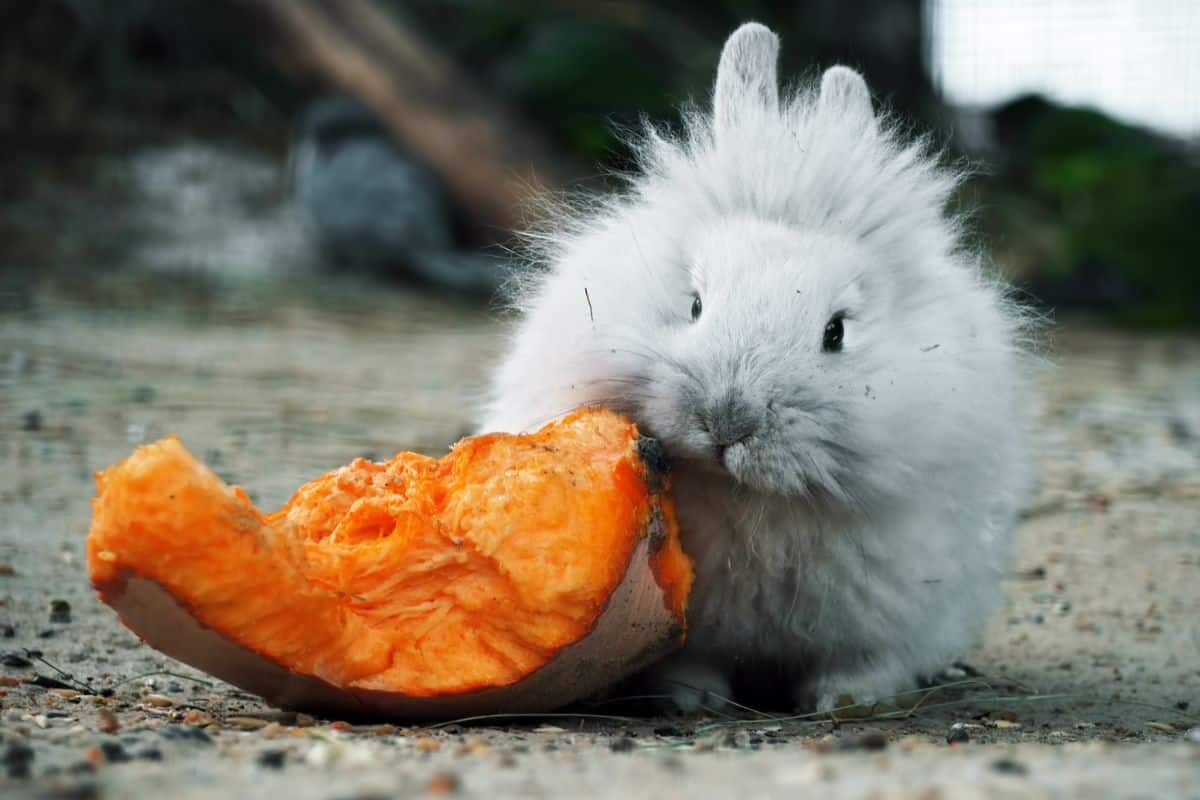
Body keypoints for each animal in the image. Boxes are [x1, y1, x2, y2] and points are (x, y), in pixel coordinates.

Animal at [478, 22, 1034, 712]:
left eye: (835, 332)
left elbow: (860, 663)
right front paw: (693, 702)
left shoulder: (887, 612)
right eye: (694, 304)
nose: (727, 420)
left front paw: (844, 702)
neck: (747, 494)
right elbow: (692, 663)